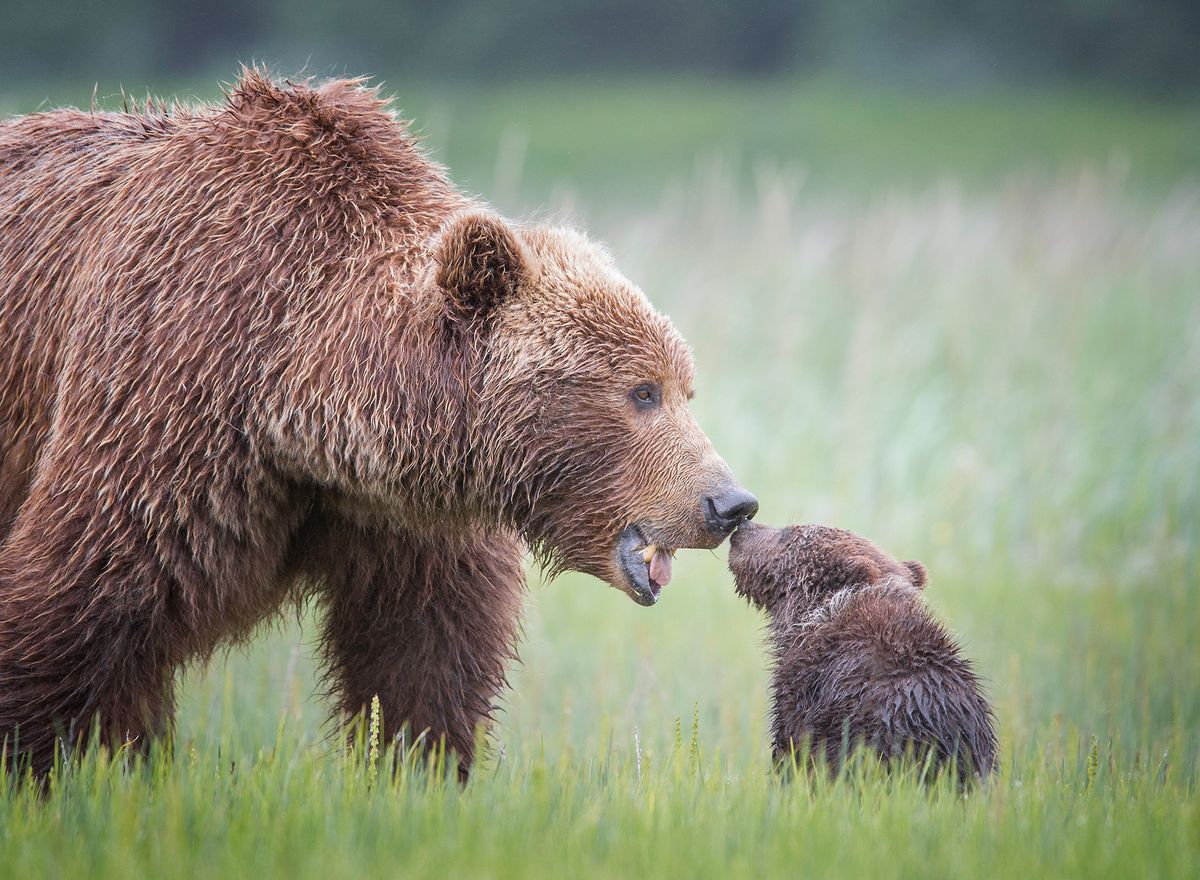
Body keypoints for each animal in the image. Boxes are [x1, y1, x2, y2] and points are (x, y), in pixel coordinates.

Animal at [0, 69, 758, 778]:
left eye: (684, 387)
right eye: (641, 392)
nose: (729, 503)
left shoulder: (405, 517)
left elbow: (423, 652)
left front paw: (416, 769)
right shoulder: (169, 399)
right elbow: (78, 599)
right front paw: (46, 766)